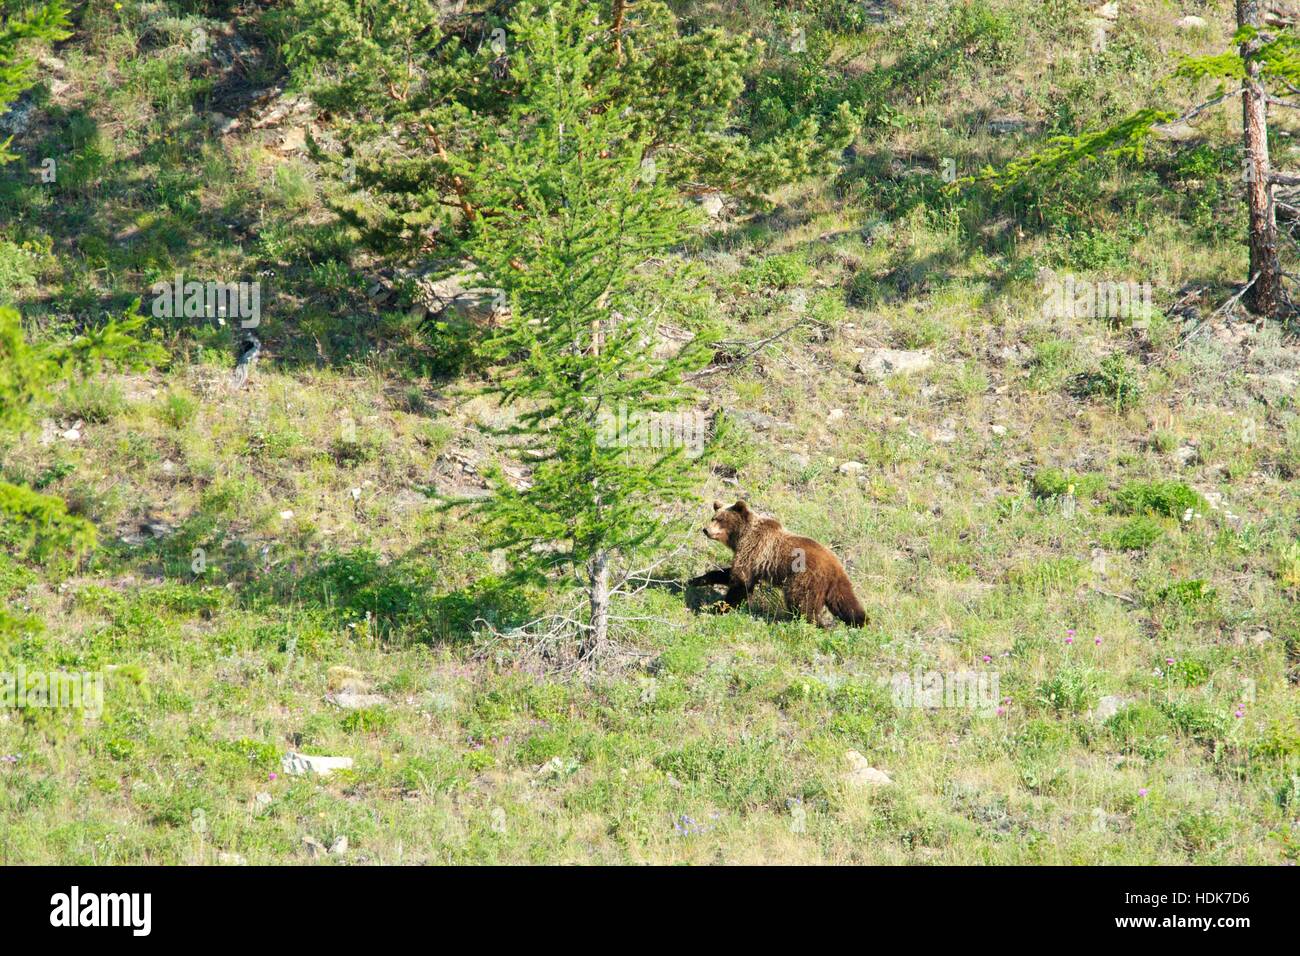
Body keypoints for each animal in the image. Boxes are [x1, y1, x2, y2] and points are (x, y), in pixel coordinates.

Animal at [688, 500, 866, 628]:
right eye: (713, 518)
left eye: (720, 519)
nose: (705, 529)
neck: (740, 536)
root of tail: (834, 565)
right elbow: (728, 573)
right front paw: (695, 580)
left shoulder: (754, 549)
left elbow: (740, 581)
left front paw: (718, 608)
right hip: (835, 584)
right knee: (845, 602)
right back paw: (860, 621)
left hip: (804, 578)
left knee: (802, 603)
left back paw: (814, 623)